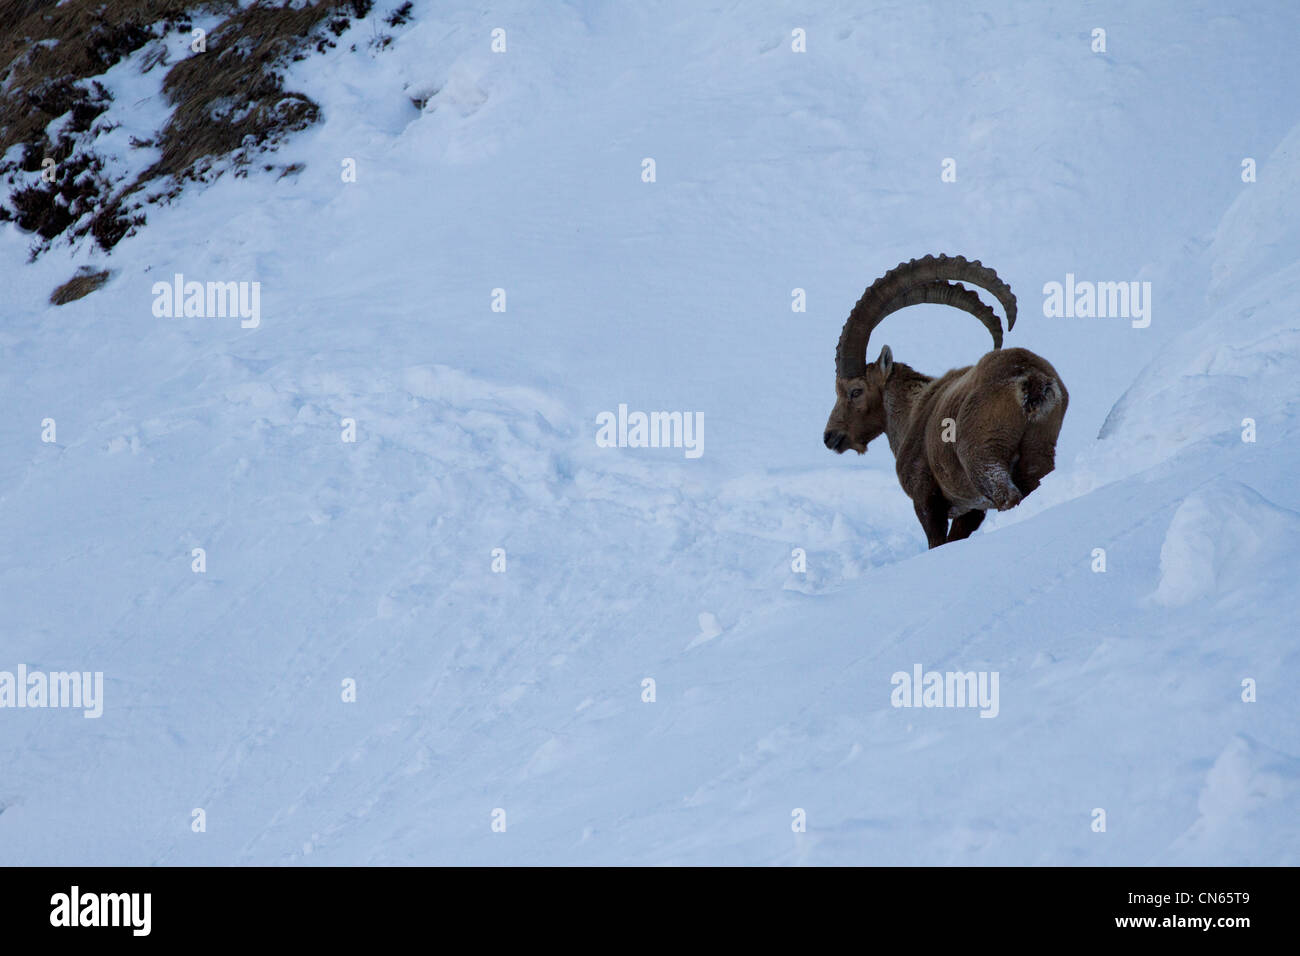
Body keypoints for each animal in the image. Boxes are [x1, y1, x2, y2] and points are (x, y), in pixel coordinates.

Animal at [823, 255, 1068, 548]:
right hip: (1038, 451)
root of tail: (1030, 377)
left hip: (982, 454)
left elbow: (936, 541)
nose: (830, 436)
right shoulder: (970, 510)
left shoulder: (927, 498)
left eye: (855, 391)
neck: (910, 412)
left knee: (1008, 496)